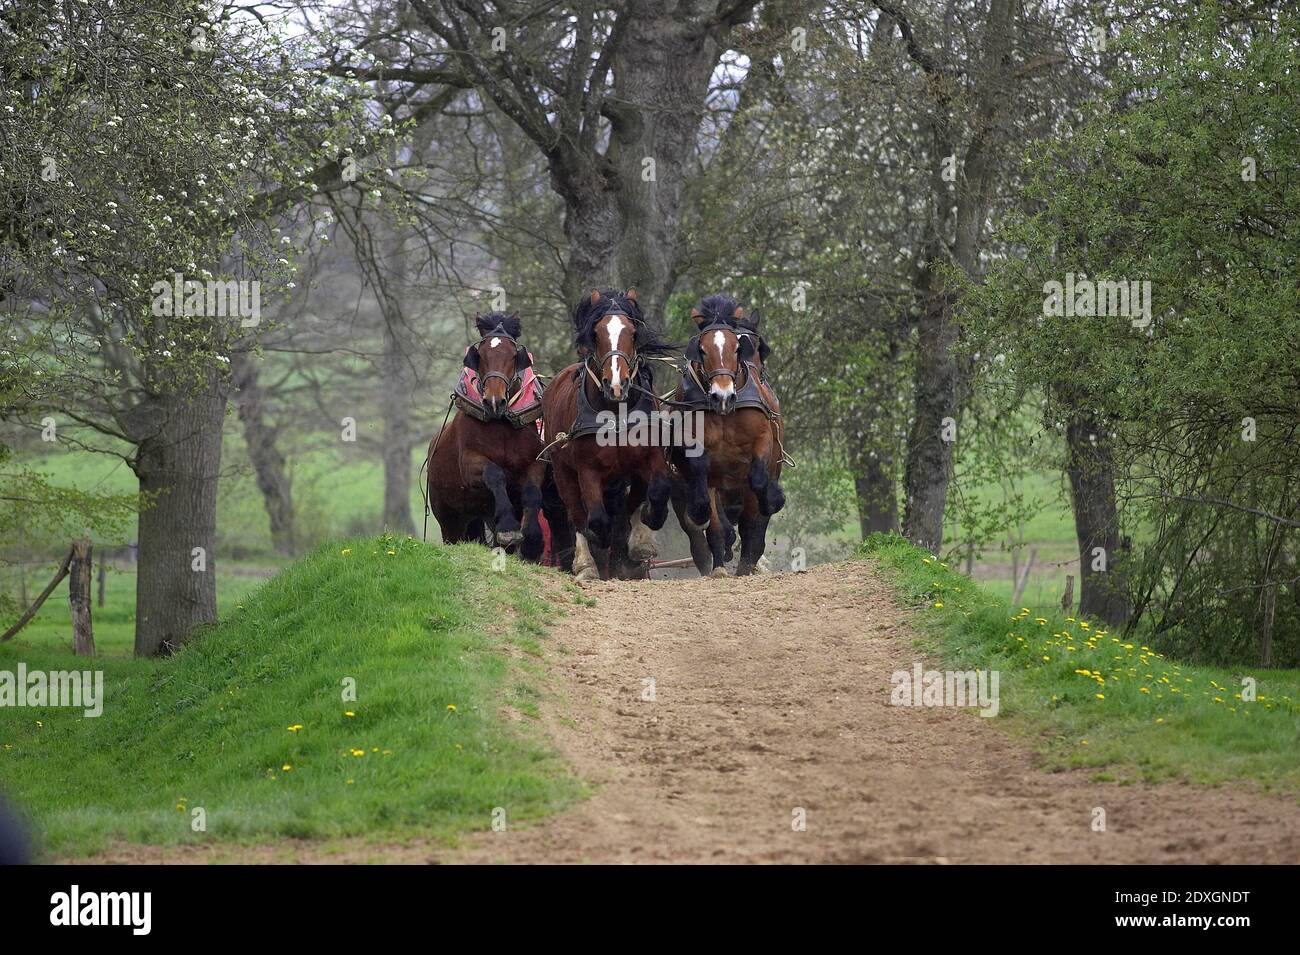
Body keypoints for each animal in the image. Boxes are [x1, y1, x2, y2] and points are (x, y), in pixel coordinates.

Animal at [425, 312, 548, 560]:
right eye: (480, 355)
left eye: (513, 355)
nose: (494, 401)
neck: (501, 423)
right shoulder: (470, 464)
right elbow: (495, 474)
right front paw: (509, 528)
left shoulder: (534, 462)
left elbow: (532, 493)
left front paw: (532, 541)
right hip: (450, 519)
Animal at [540, 288, 678, 580]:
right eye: (596, 333)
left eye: (633, 333)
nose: (616, 384)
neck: (615, 412)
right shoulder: (587, 469)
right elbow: (597, 520)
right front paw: (602, 548)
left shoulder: (647, 459)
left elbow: (655, 494)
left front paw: (638, 545)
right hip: (562, 471)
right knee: (577, 514)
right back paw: (586, 563)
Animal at [670, 295, 786, 576]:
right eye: (702, 349)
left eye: (738, 348)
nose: (722, 396)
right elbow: (703, 485)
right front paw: (701, 511)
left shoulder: (762, 440)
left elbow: (758, 481)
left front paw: (774, 500)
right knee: (708, 530)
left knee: (752, 521)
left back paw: (747, 562)